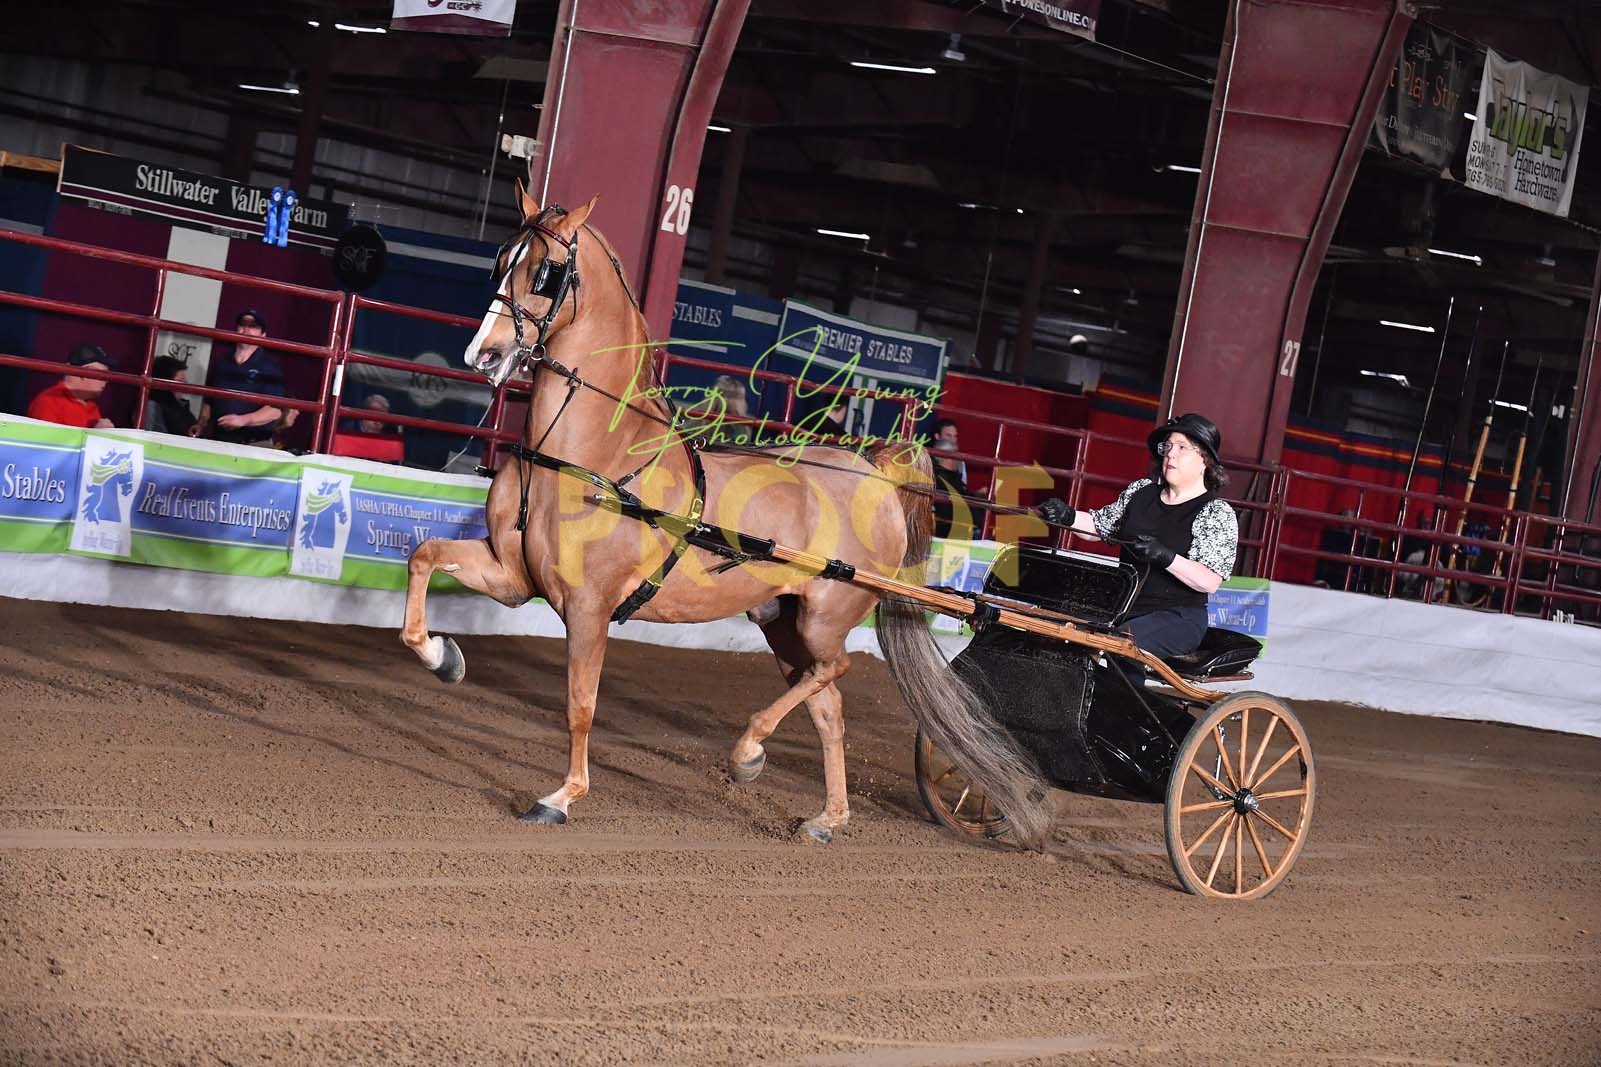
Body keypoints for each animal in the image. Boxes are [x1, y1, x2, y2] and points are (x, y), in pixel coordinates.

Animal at [398, 184, 1052, 846]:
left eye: (547, 272)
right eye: (501, 259)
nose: (485, 355)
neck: (592, 457)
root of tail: (874, 469)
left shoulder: (588, 606)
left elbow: (581, 703)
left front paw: (562, 796)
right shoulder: (514, 577)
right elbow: (423, 558)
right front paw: (442, 658)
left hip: (825, 614)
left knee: (835, 668)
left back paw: (748, 753)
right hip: (782, 621)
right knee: (830, 705)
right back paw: (825, 818)